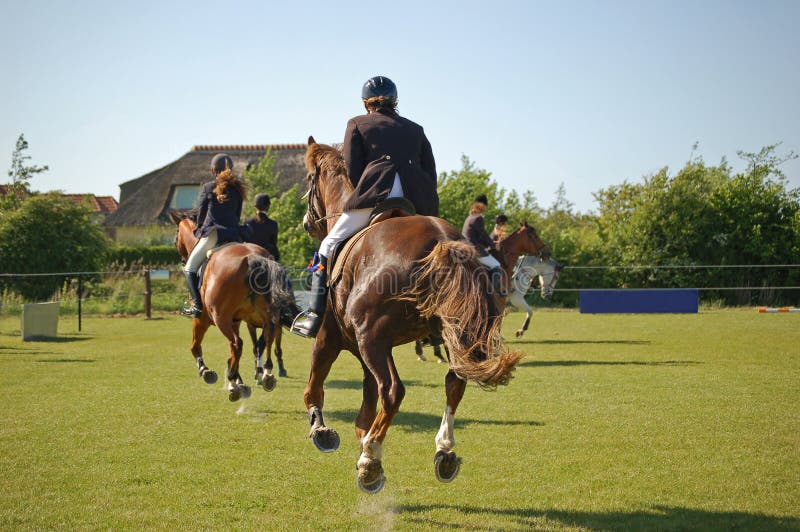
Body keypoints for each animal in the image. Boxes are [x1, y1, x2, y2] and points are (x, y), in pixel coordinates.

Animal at [170, 211, 298, 400]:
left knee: (239, 344)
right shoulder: (236, 321)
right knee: (266, 337)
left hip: (221, 319)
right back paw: (266, 374)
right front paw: (239, 380)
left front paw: (206, 371)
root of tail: (253, 258)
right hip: (267, 317)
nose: (181, 259)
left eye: (176, 237)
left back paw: (234, 381)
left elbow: (195, 346)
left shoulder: (202, 318)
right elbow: (233, 352)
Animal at [296, 135, 520, 492]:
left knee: (393, 391)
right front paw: (363, 435)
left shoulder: (332, 336)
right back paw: (443, 450)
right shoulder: (362, 348)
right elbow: (366, 403)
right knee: (454, 382)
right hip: (450, 334)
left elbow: (316, 384)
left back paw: (371, 462)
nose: (306, 223)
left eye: (308, 179)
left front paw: (322, 431)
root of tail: (442, 241)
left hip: (373, 339)